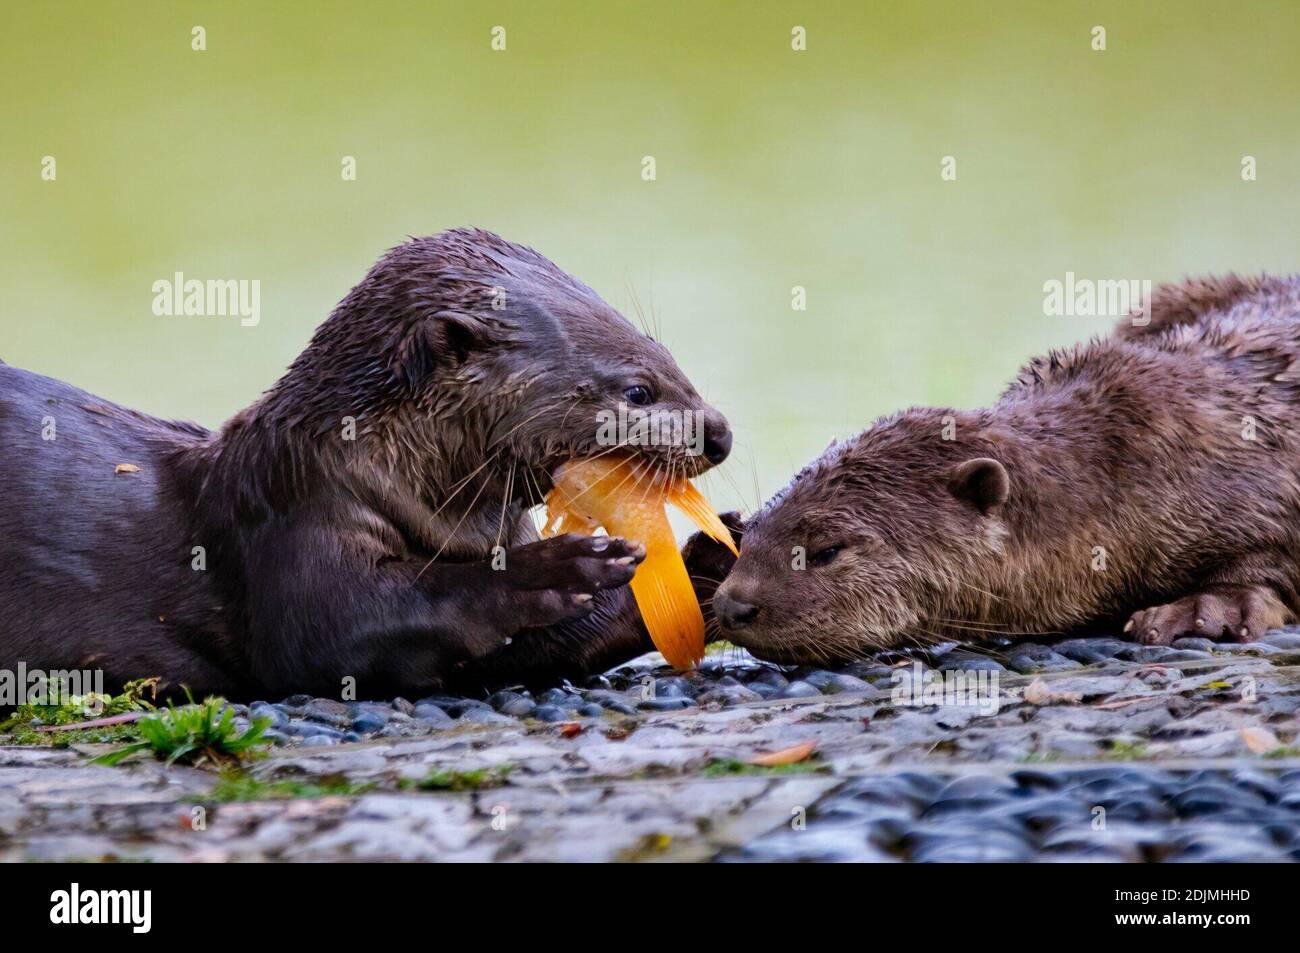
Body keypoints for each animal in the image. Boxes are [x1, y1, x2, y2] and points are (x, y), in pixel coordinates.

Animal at [0, 228, 732, 700]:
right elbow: (341, 629)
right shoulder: (289, 514)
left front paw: (710, 562)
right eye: (637, 390)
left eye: (668, 358)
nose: (721, 434)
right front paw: (556, 568)